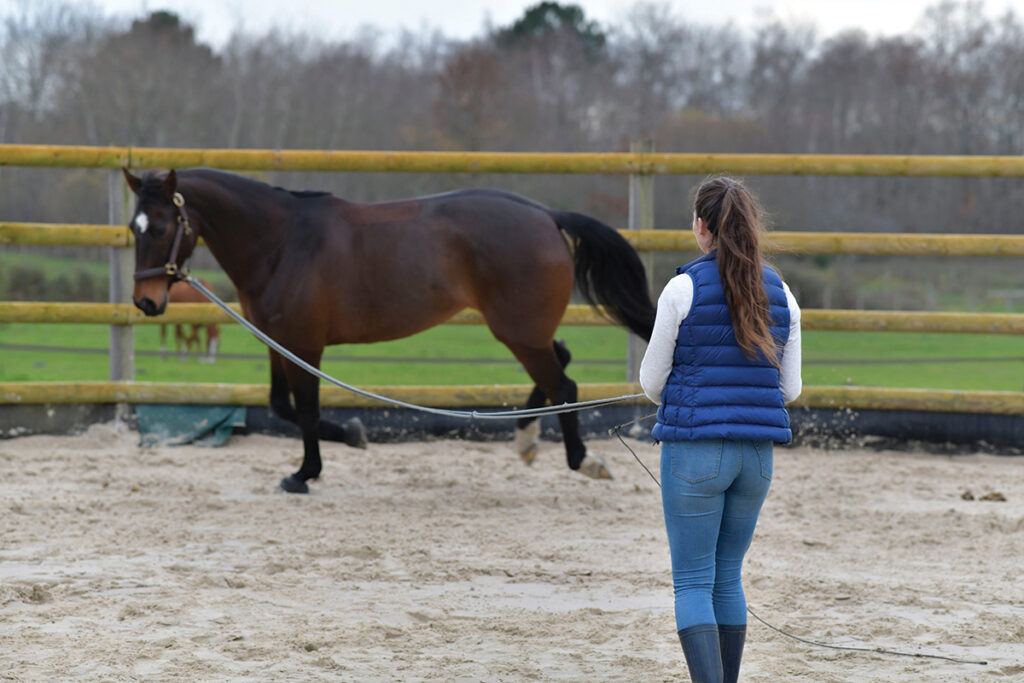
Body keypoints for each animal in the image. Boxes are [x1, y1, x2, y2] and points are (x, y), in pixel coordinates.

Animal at [123, 167, 655, 494]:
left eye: (163, 225)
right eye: (134, 227)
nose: (146, 302)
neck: (281, 243)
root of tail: (546, 215)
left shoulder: (305, 345)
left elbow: (307, 410)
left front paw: (305, 472)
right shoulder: (278, 343)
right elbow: (281, 406)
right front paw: (352, 435)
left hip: (517, 331)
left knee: (563, 383)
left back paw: (583, 460)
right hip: (525, 330)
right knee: (559, 362)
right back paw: (525, 441)